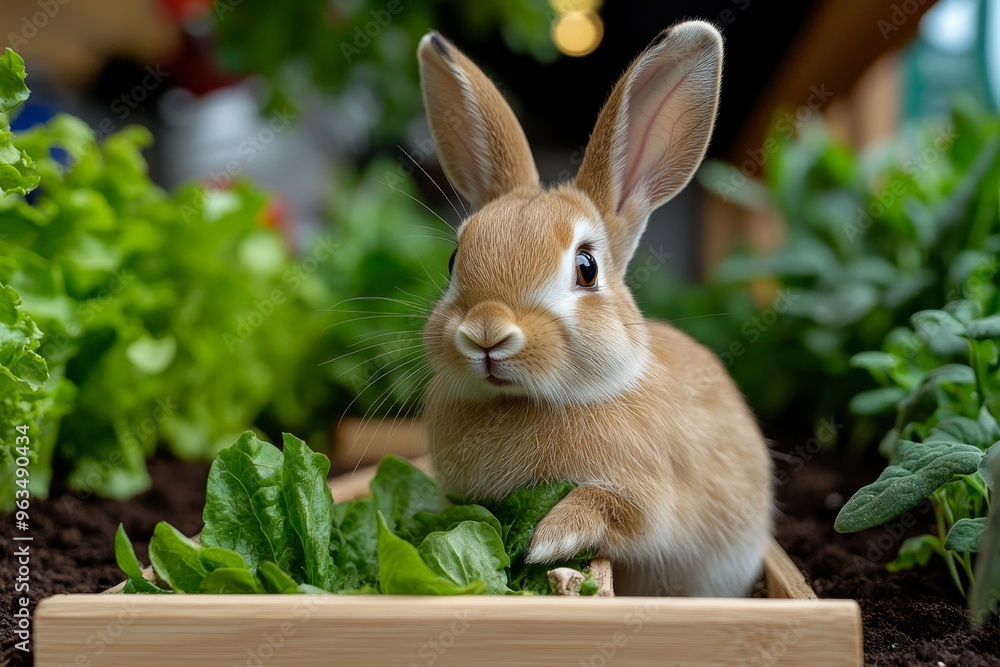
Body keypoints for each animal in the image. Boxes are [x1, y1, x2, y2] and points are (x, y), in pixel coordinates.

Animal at [417, 21, 773, 597]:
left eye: (586, 267)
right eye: (453, 261)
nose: (487, 332)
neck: (525, 403)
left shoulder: (651, 497)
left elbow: (610, 505)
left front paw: (547, 538)